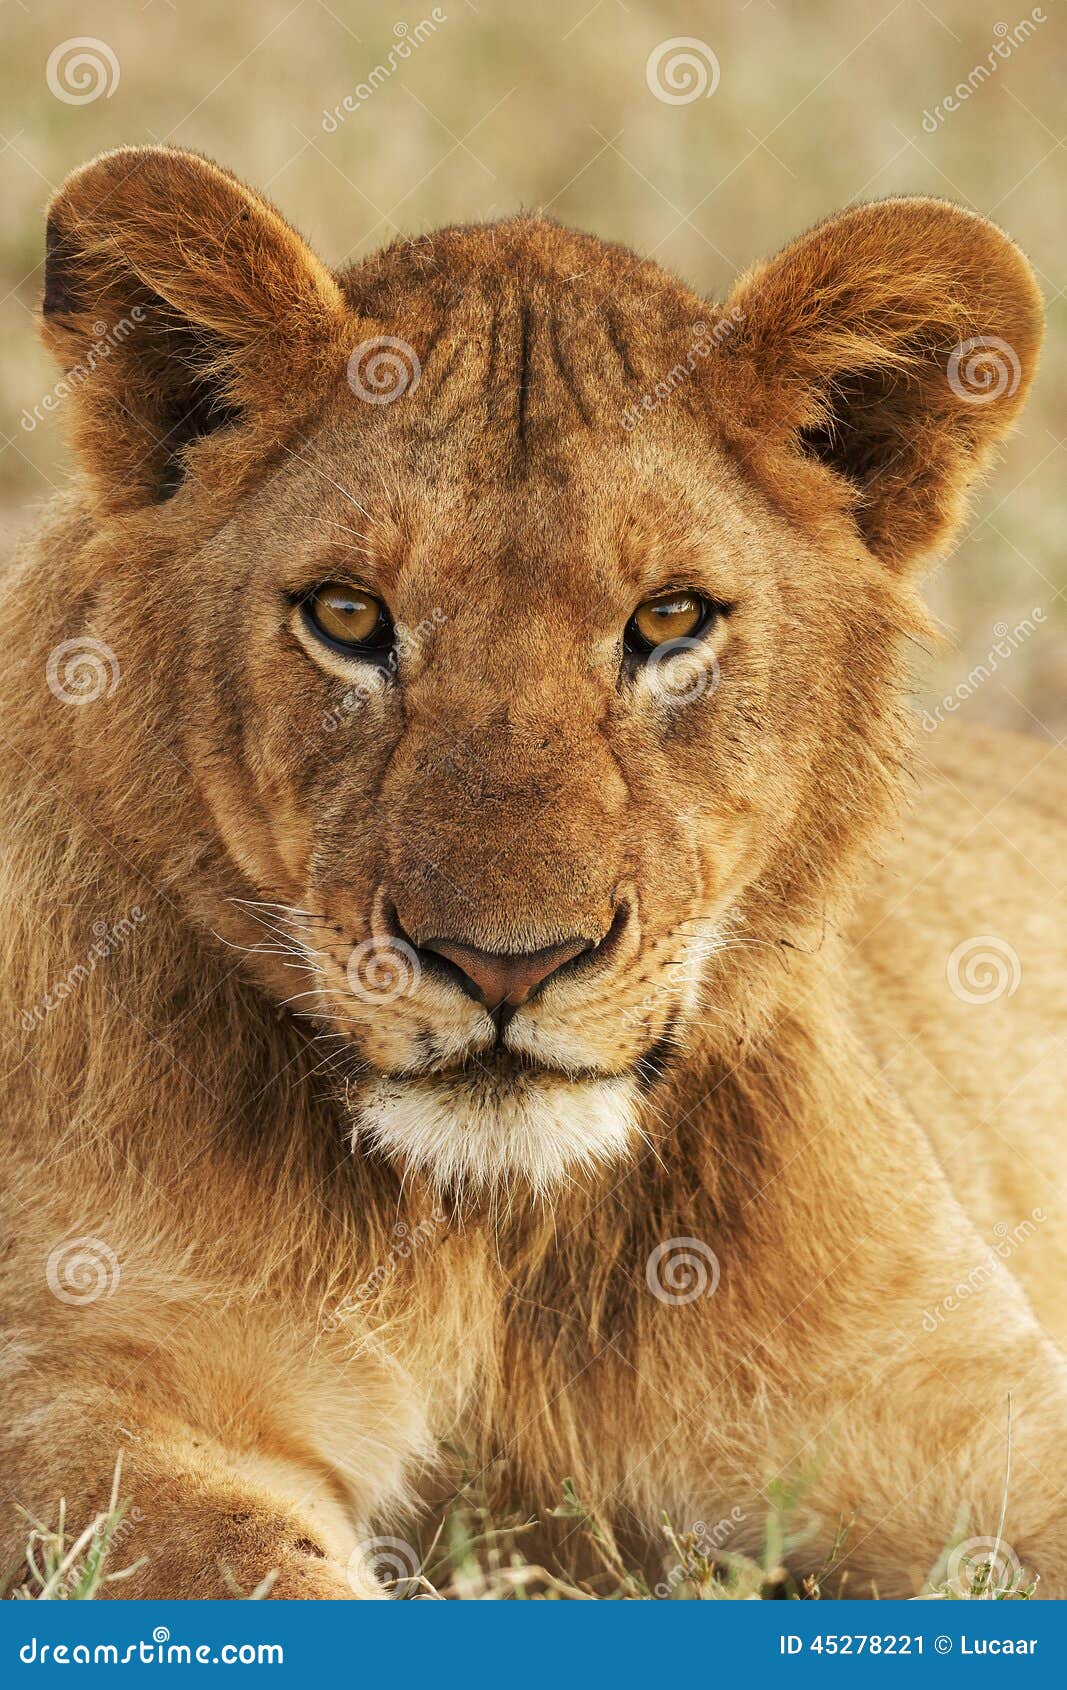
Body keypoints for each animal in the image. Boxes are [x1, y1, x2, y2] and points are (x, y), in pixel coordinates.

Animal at [1, 145, 1064, 1601]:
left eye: (670, 620)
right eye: (347, 616)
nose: (504, 964)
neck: (495, 1234)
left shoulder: (965, 1402)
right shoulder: (93, 1398)